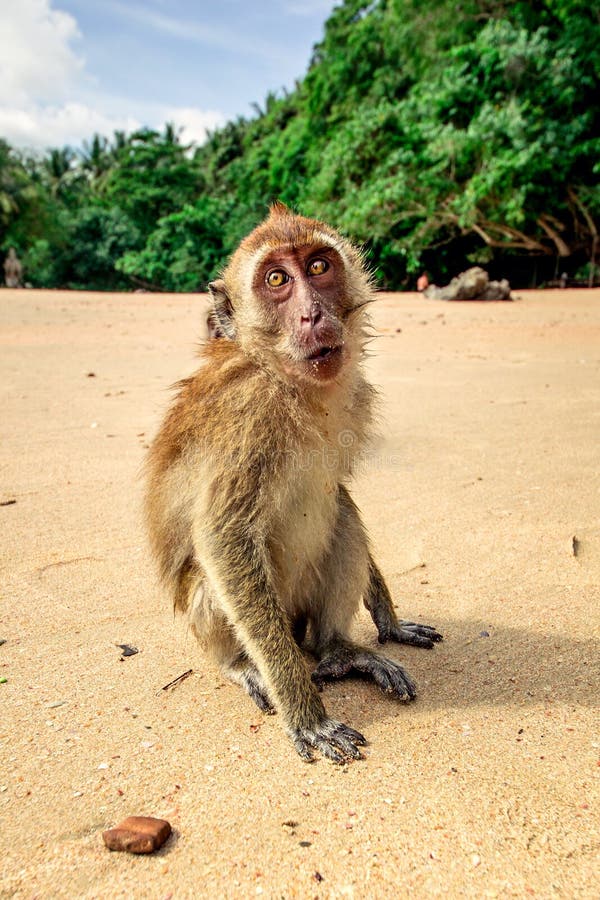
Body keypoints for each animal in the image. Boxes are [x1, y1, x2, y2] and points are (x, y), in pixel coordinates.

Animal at [145, 202, 442, 762]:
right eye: (277, 280)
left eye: (319, 267)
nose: (313, 315)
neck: (289, 383)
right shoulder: (248, 416)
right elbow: (223, 538)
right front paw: (305, 714)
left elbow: (340, 490)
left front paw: (389, 621)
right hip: (235, 622)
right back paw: (245, 666)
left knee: (342, 515)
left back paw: (337, 652)